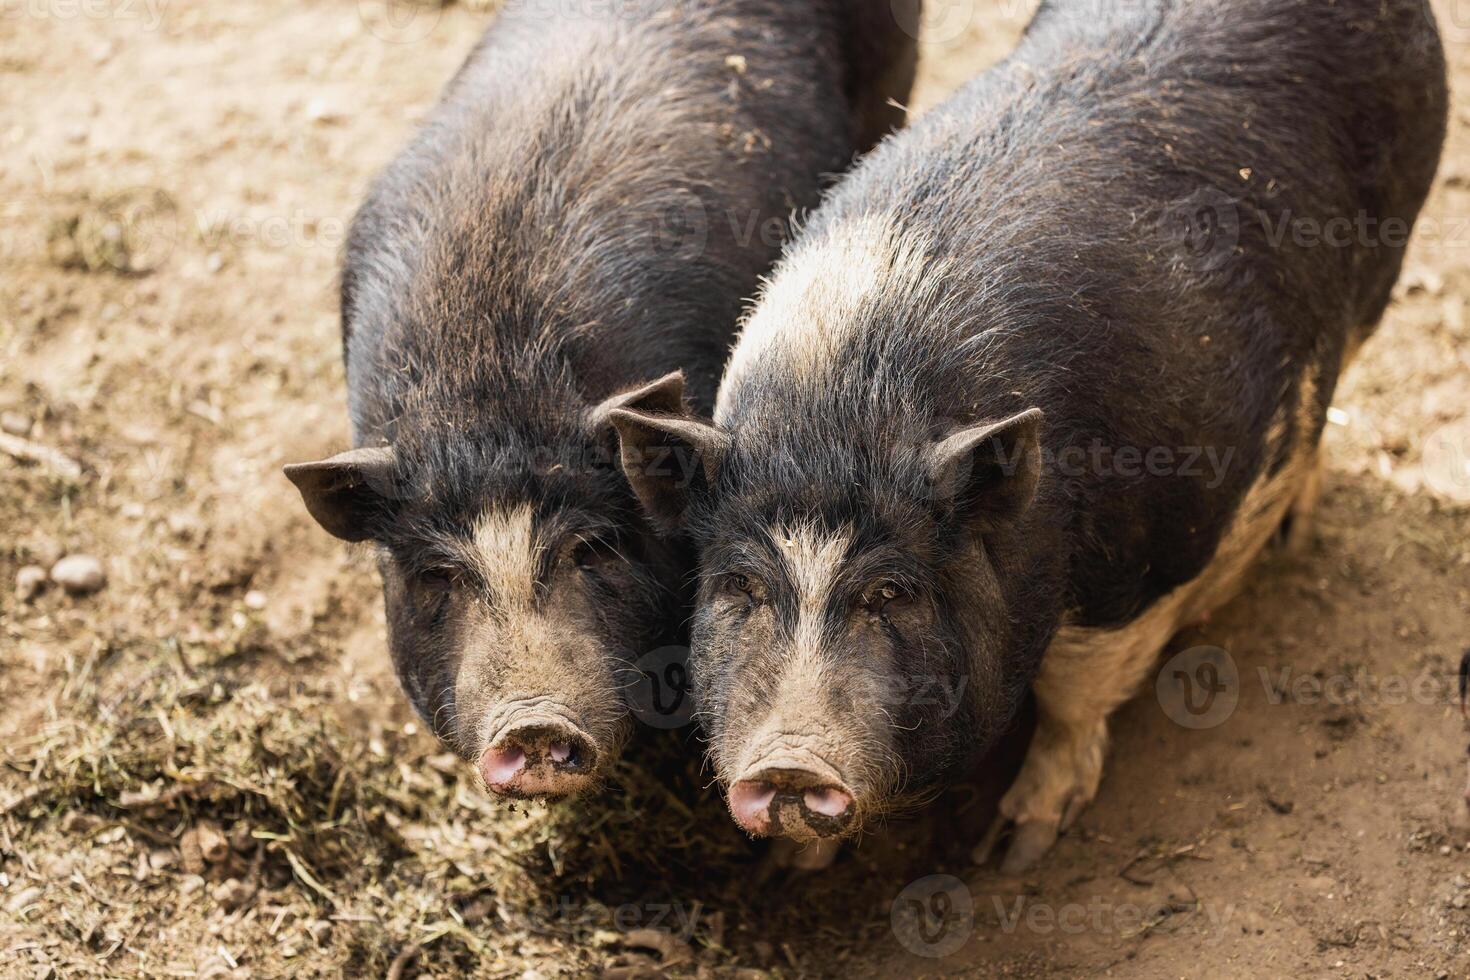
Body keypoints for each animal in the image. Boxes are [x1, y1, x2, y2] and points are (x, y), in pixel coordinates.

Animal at [611, 0, 1447, 870]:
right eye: (740, 585)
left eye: (892, 592)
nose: (787, 763)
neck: (849, 406)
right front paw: (788, 869)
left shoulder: (1146, 557)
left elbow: (1074, 686)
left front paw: (1015, 849)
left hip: (1388, 262)